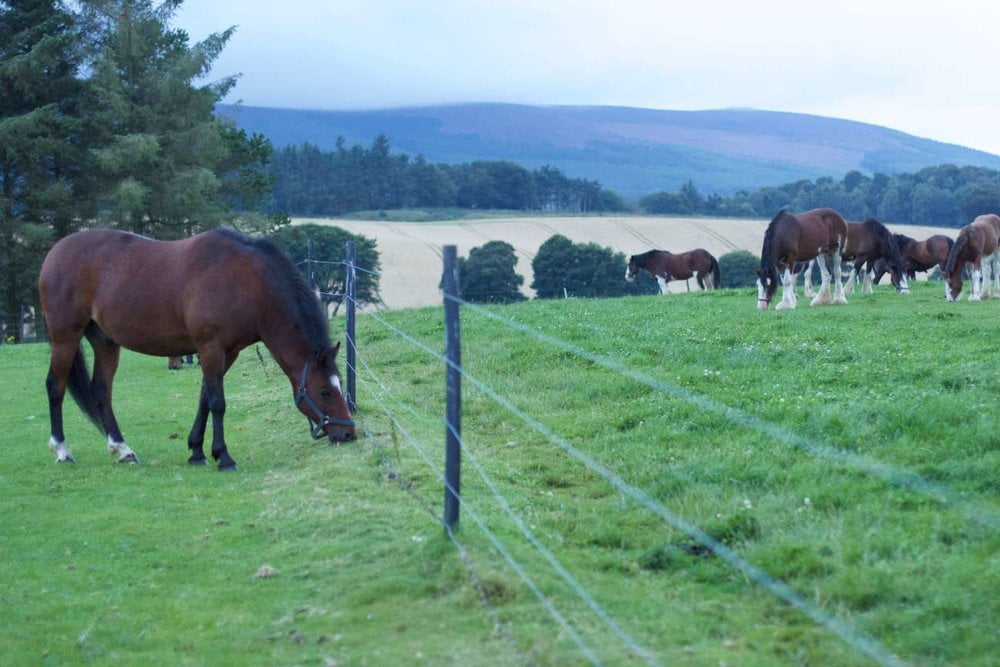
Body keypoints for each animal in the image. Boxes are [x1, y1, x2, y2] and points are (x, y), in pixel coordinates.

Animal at [38, 228, 356, 471]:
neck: (247, 282)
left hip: (105, 342)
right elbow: (217, 402)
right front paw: (224, 457)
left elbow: (204, 398)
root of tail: (56, 252)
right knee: (55, 386)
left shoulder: (228, 352)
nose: (348, 433)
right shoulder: (211, 348)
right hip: (65, 336)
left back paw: (122, 448)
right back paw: (61, 450)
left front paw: (197, 451)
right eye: (325, 392)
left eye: (340, 386)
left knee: (102, 392)